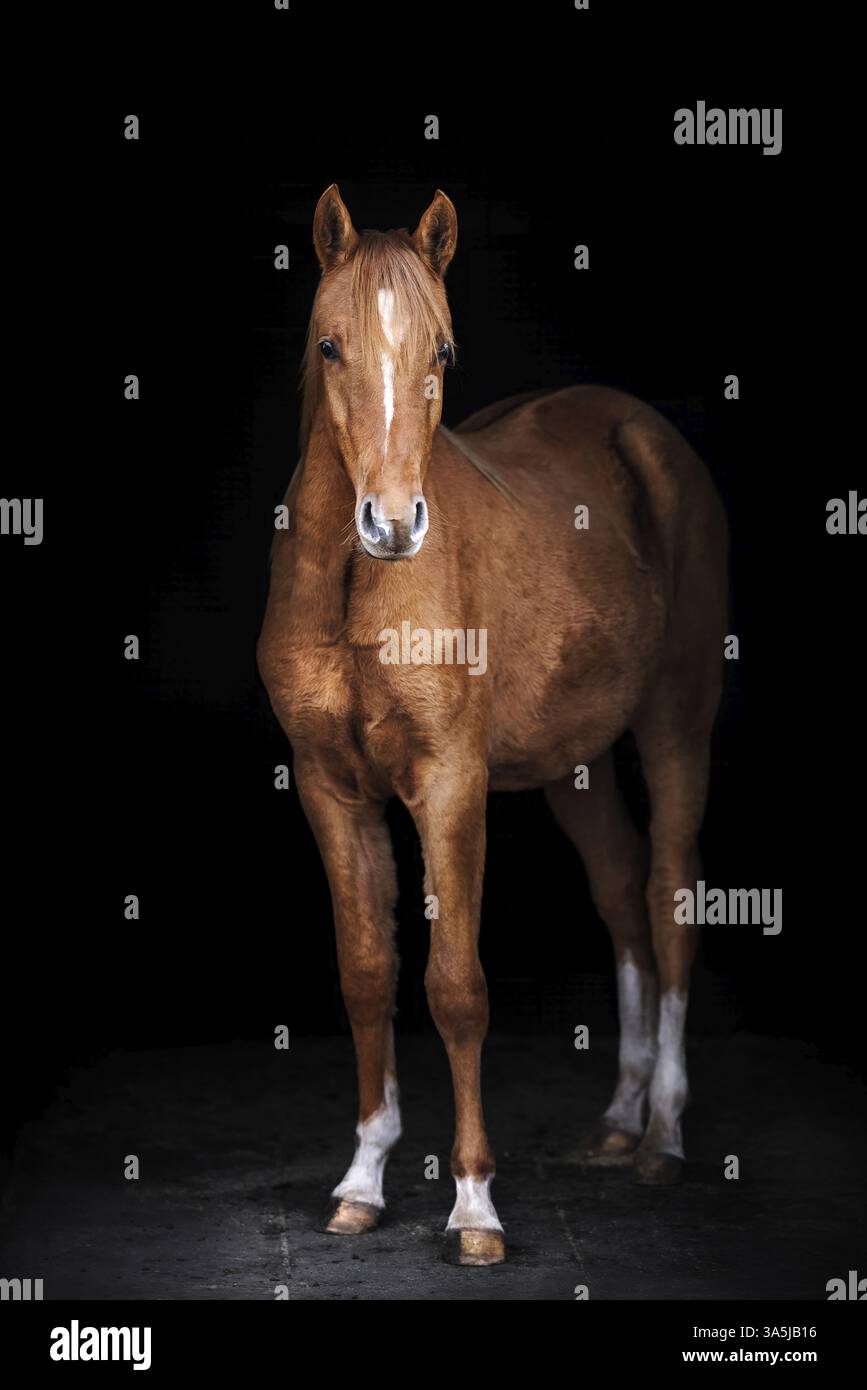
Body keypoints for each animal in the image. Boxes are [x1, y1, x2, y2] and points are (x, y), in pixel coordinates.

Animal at [257, 185, 728, 1267]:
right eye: (330, 344)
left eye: (441, 350)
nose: (392, 523)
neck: (354, 587)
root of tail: (645, 434)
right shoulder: (328, 788)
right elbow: (367, 972)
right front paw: (363, 1178)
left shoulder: (449, 783)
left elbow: (455, 986)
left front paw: (474, 1204)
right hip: (572, 764)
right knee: (619, 892)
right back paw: (621, 1119)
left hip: (677, 723)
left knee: (668, 892)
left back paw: (665, 1134)